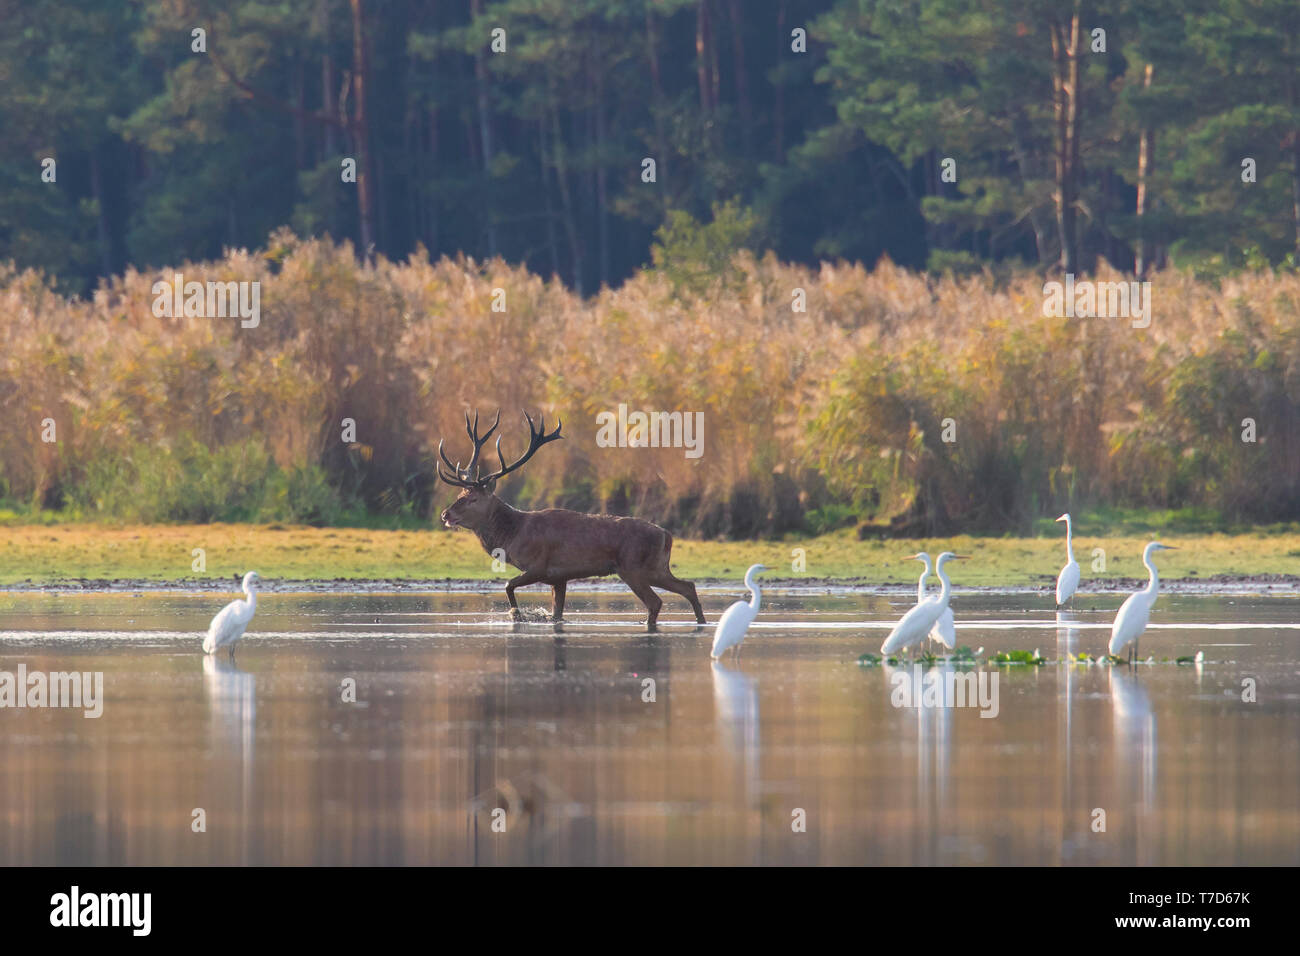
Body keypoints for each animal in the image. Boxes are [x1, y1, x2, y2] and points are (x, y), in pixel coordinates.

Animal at [437, 410, 706, 630]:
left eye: (473, 499)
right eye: (460, 494)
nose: (445, 514)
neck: (513, 535)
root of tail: (666, 535)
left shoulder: (539, 566)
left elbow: (508, 586)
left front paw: (518, 615)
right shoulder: (559, 577)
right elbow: (557, 614)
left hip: (633, 567)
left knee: (656, 601)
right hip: (657, 567)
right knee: (688, 586)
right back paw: (702, 622)